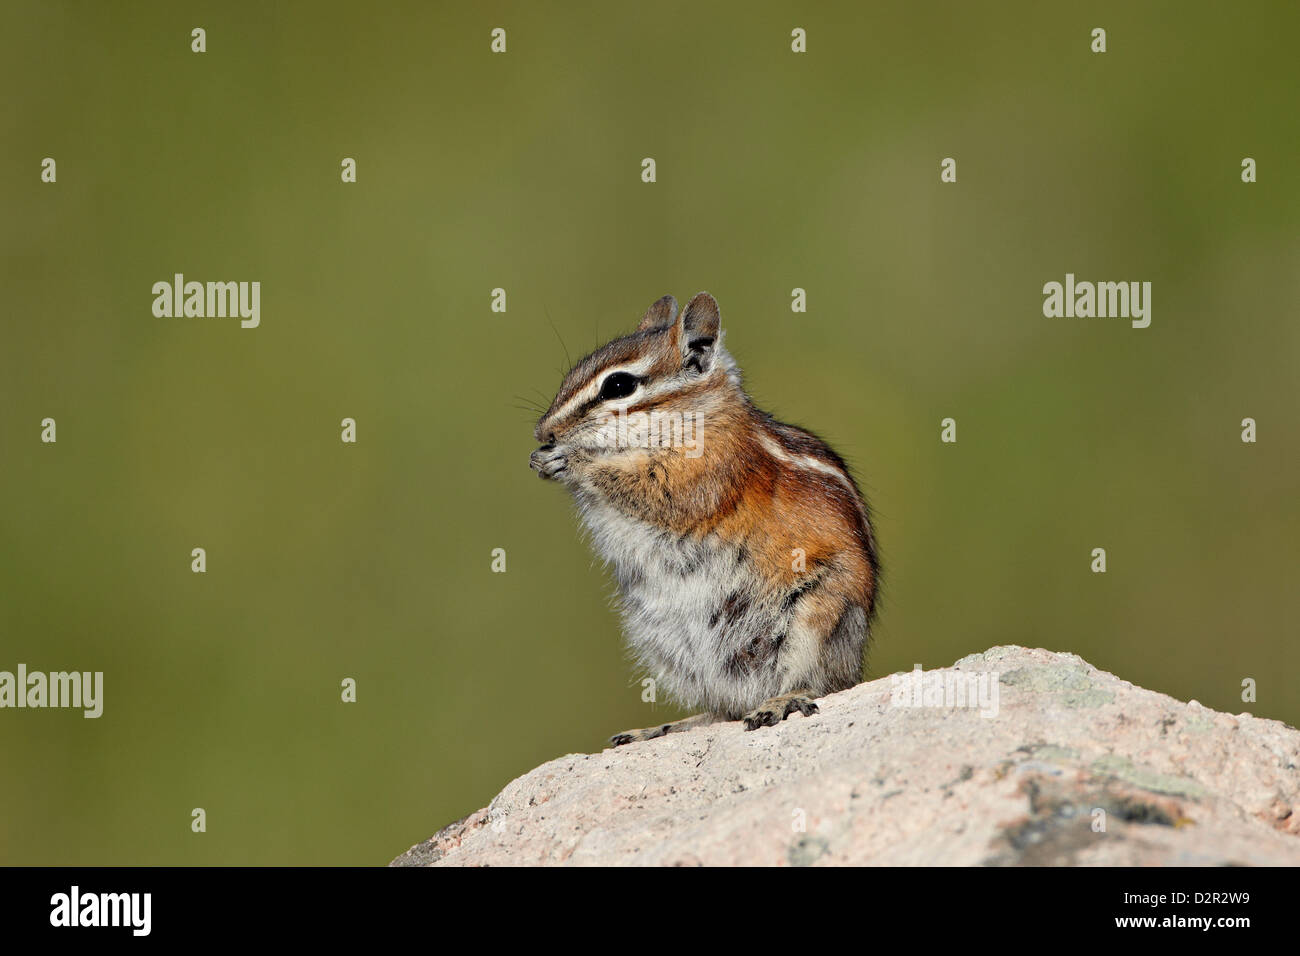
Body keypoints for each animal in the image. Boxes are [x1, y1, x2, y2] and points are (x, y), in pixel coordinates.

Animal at [530, 292, 879, 746]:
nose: (544, 432)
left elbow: (654, 489)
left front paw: (570, 461)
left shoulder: (706, 472)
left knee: (816, 683)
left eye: (619, 386)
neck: (692, 418)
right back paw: (660, 728)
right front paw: (543, 458)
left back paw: (779, 702)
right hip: (666, 643)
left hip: (817, 617)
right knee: (720, 710)